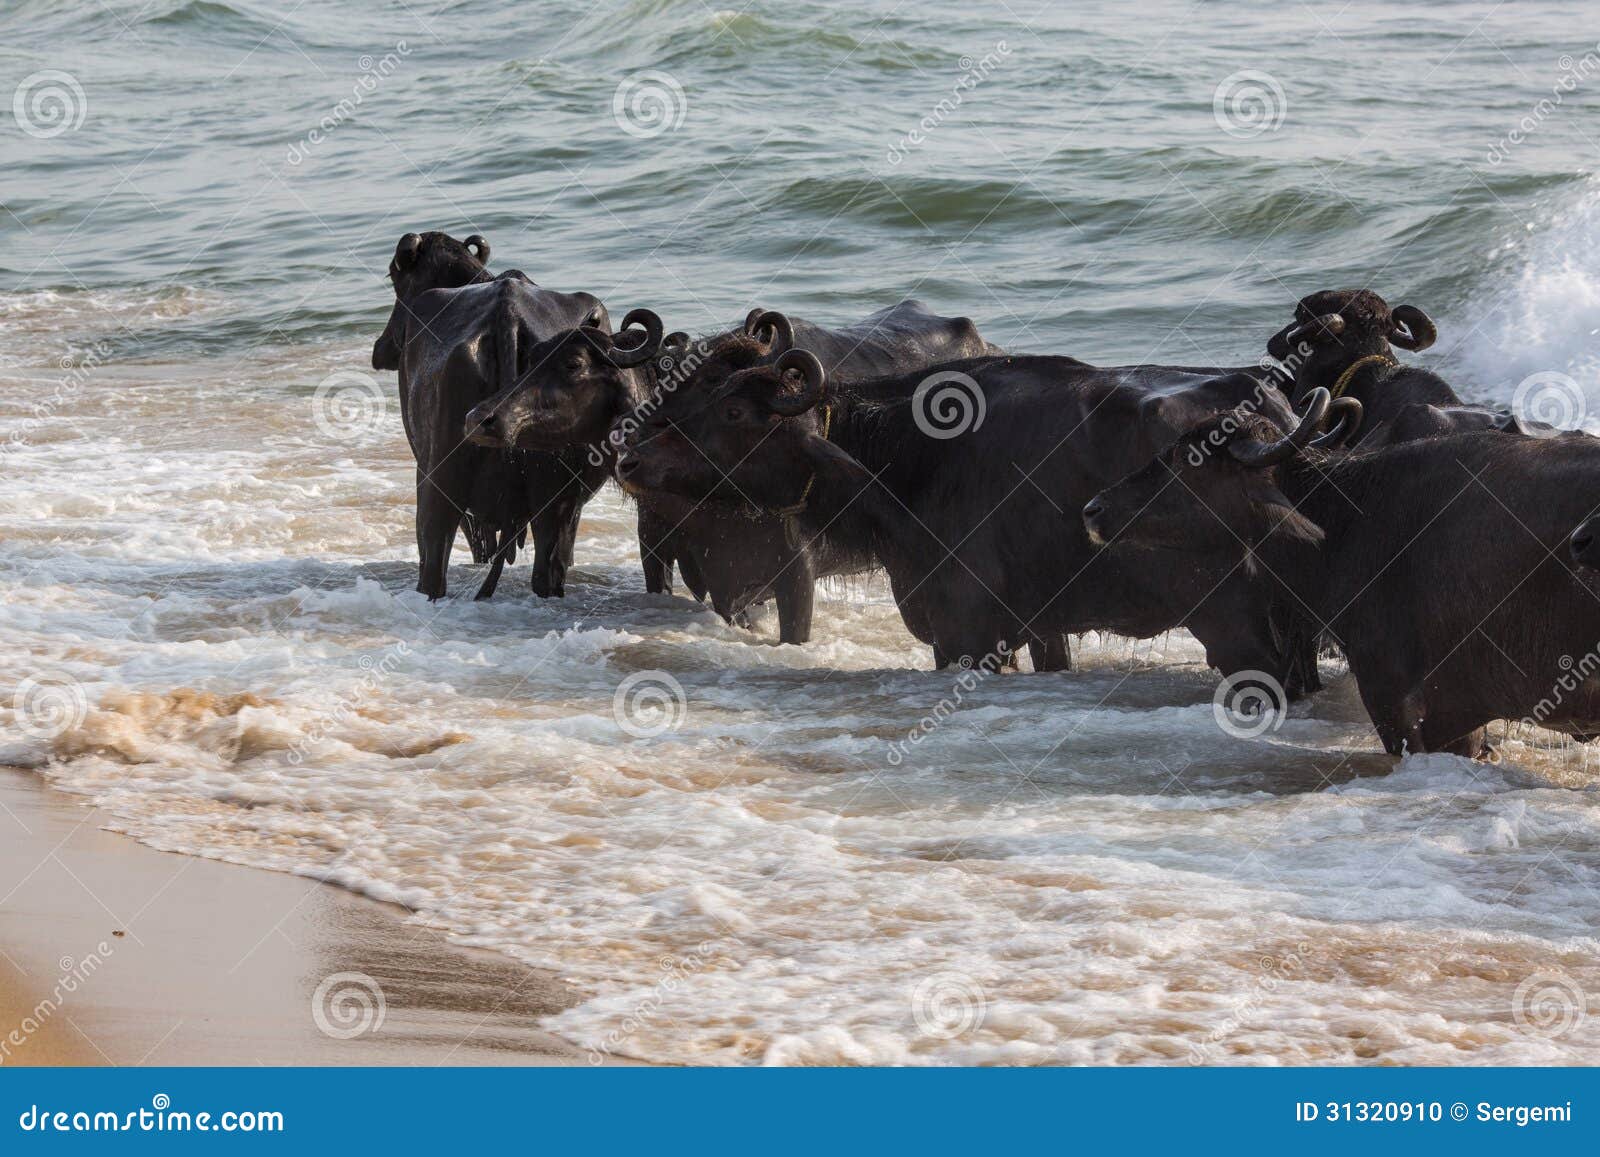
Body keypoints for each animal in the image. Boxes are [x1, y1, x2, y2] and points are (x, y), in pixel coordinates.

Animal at [372, 230, 612, 601]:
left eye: (395, 280)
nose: (380, 348)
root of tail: (508, 314)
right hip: (557, 502)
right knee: (548, 569)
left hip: (437, 482)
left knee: (434, 561)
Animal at [614, 349, 1326, 692]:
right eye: (705, 391)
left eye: (734, 412)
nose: (630, 457)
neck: (911, 459)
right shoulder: (1039, 627)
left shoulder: (966, 634)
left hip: (1237, 628)